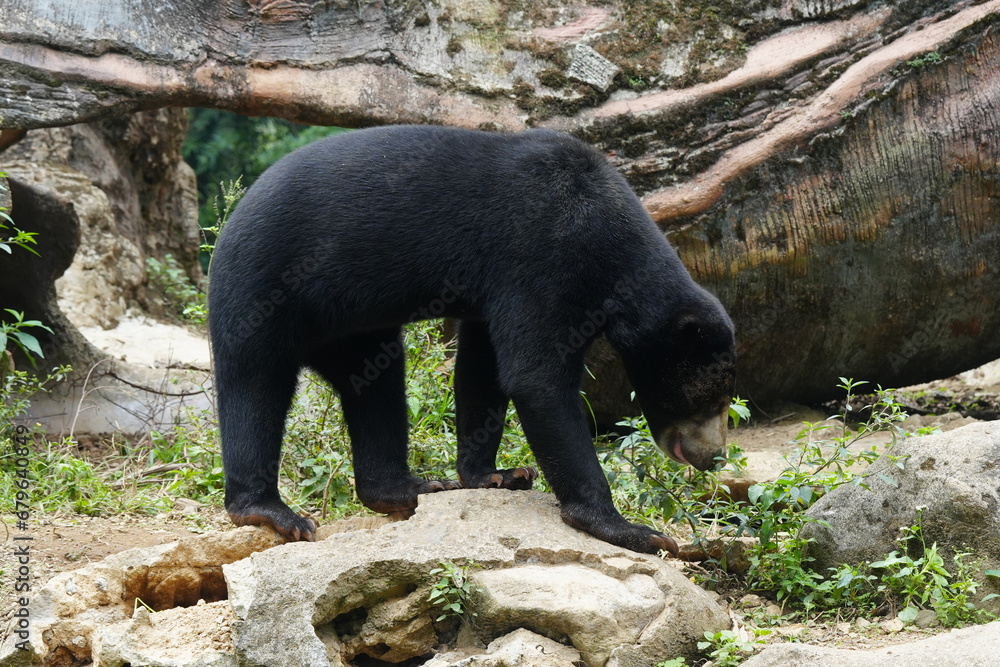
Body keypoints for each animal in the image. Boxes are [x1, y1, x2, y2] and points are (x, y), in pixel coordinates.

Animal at [207, 125, 736, 555]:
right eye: (712, 401)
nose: (714, 457)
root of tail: (232, 215)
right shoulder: (539, 251)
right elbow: (536, 378)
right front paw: (633, 530)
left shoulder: (498, 290)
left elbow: (484, 369)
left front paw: (499, 475)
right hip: (265, 286)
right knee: (255, 386)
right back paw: (273, 513)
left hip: (354, 327)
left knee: (376, 385)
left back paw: (411, 488)